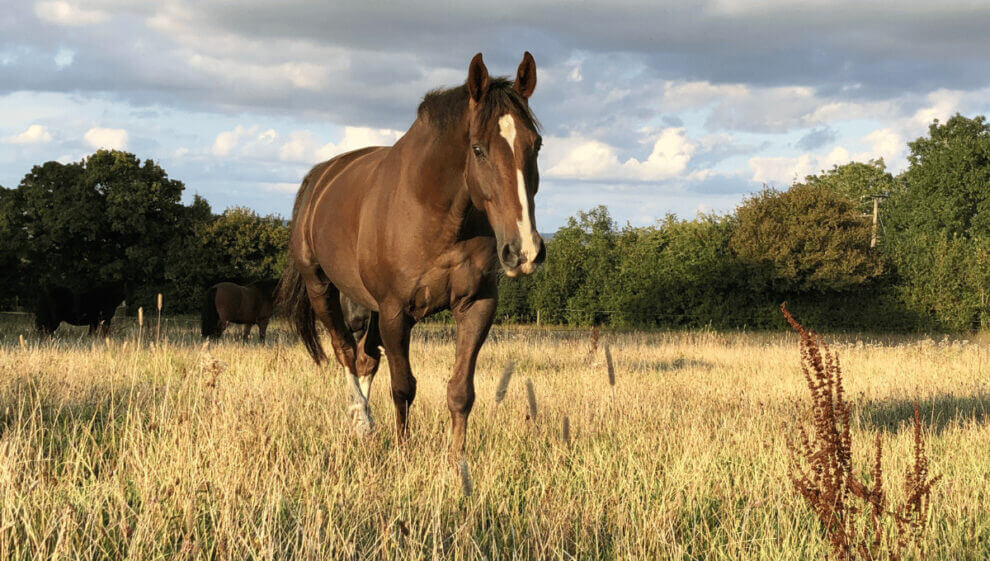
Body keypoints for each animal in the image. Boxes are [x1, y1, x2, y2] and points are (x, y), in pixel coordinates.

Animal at [279, 52, 545, 459]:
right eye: (478, 149)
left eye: (537, 144)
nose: (524, 251)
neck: (433, 210)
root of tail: (321, 175)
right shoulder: (395, 311)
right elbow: (403, 386)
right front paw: (403, 454)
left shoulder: (477, 305)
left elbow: (460, 391)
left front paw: (456, 458)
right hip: (321, 288)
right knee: (345, 352)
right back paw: (362, 421)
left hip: (366, 305)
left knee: (365, 357)